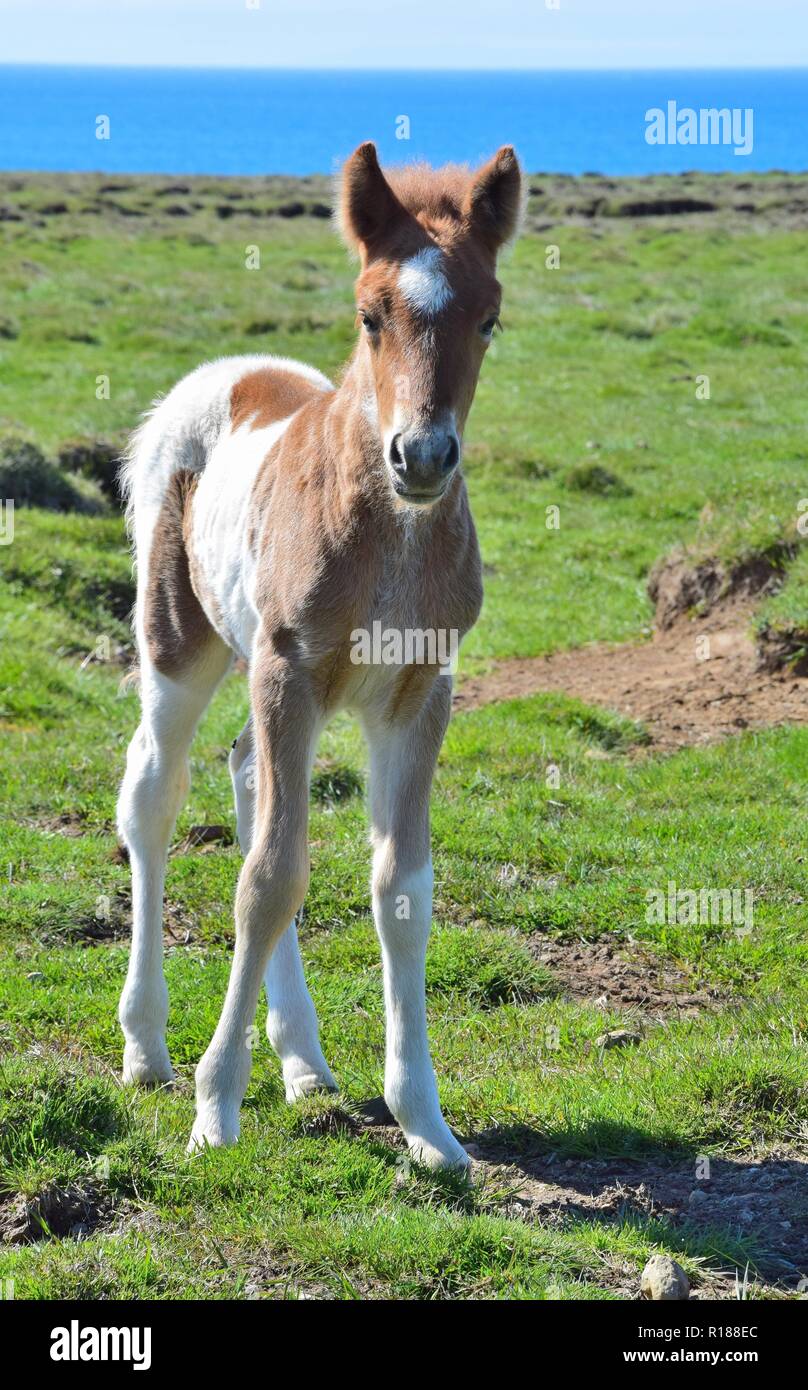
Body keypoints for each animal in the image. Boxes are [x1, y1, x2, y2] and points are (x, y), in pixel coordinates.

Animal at [117, 141, 522, 1169]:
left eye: (489, 318)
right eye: (371, 313)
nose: (422, 457)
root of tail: (227, 371)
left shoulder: (421, 693)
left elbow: (401, 890)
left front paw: (427, 1126)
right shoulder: (287, 669)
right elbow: (266, 881)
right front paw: (214, 1109)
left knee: (245, 773)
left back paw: (302, 1061)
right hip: (182, 645)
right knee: (155, 792)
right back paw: (147, 1047)